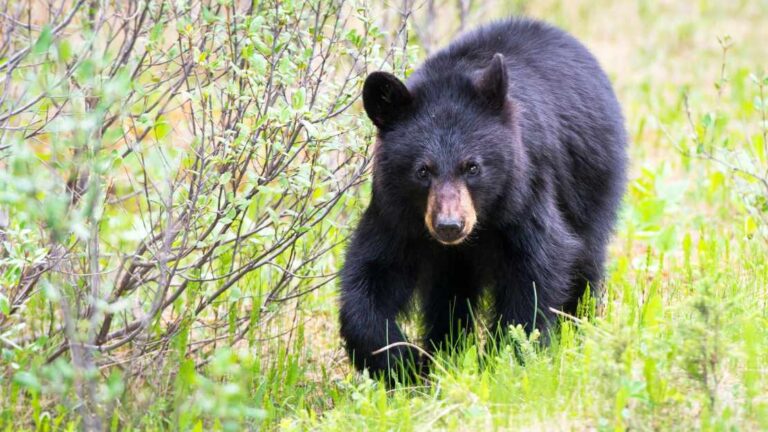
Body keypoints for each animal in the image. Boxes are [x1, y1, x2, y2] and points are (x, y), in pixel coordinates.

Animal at [339, 17, 627, 382]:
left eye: (472, 167)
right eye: (422, 171)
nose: (449, 225)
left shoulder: (524, 192)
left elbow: (536, 267)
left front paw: (507, 359)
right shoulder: (397, 212)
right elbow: (373, 274)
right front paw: (402, 362)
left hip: (590, 184)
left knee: (586, 261)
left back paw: (578, 331)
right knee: (448, 295)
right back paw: (444, 350)